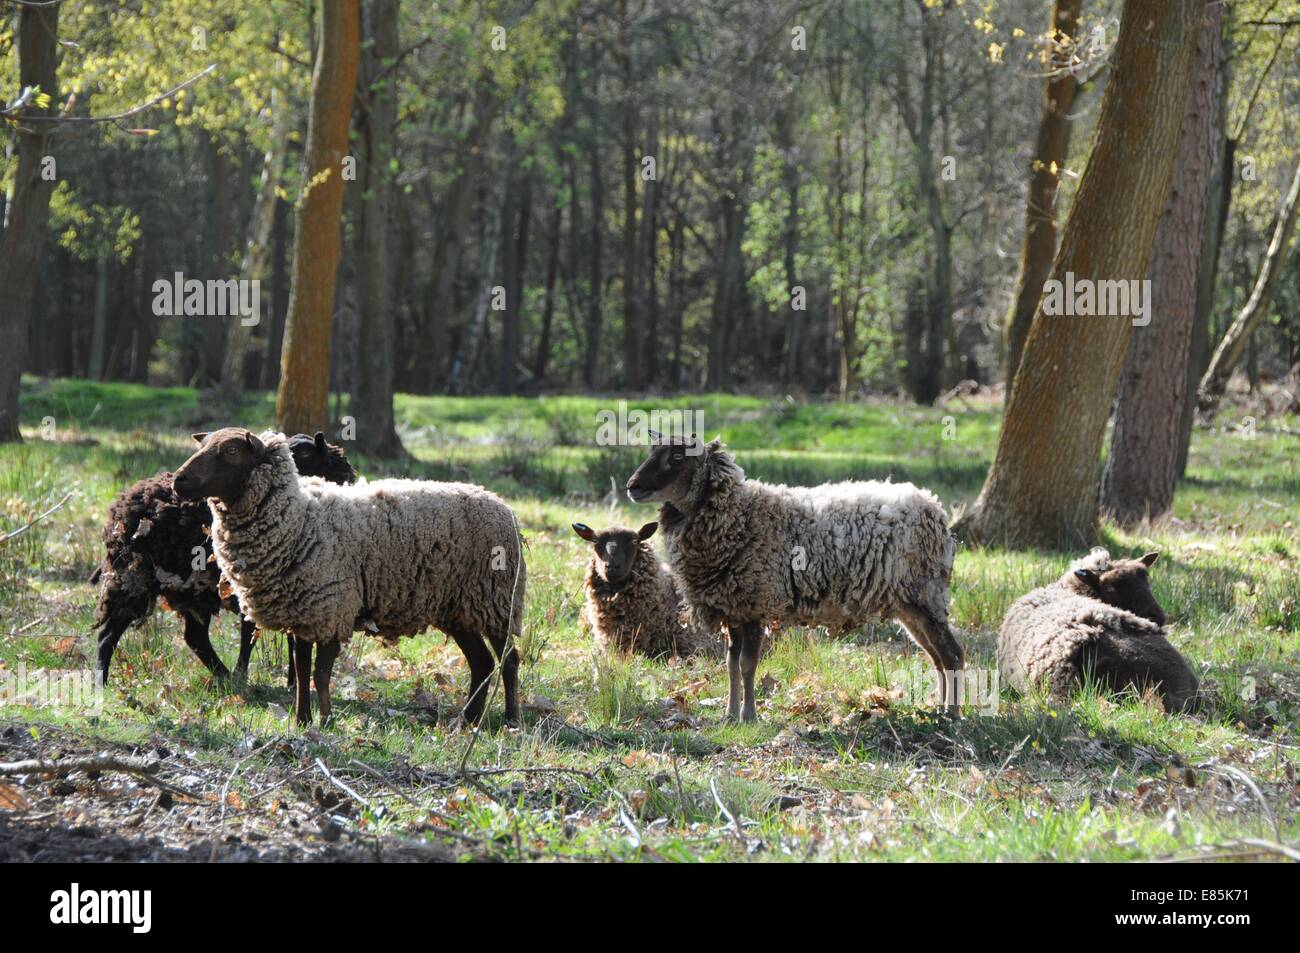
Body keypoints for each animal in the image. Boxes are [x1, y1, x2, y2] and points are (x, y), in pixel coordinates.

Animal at [91, 431, 357, 686]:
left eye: (304, 453)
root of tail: (123, 503)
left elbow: (292, 641)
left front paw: (292, 683)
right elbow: (249, 636)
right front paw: (244, 675)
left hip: (190, 589)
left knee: (195, 637)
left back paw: (223, 675)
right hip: (133, 576)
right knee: (108, 634)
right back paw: (101, 684)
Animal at [172, 428, 525, 727]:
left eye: (231, 451)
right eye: (203, 445)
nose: (178, 480)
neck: (298, 518)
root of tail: (503, 506)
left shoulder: (333, 608)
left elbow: (320, 673)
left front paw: (326, 720)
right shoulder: (306, 610)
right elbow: (302, 670)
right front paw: (303, 721)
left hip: (496, 600)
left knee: (508, 660)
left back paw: (510, 721)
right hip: (459, 608)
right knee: (481, 663)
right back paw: (468, 721)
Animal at [625, 433, 964, 722]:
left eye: (678, 456)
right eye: (652, 451)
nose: (632, 486)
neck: (738, 515)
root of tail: (935, 509)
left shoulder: (755, 602)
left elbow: (748, 664)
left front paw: (749, 716)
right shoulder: (733, 608)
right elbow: (731, 664)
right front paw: (730, 714)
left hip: (927, 596)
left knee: (953, 655)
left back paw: (952, 715)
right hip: (909, 605)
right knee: (937, 658)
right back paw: (939, 709)